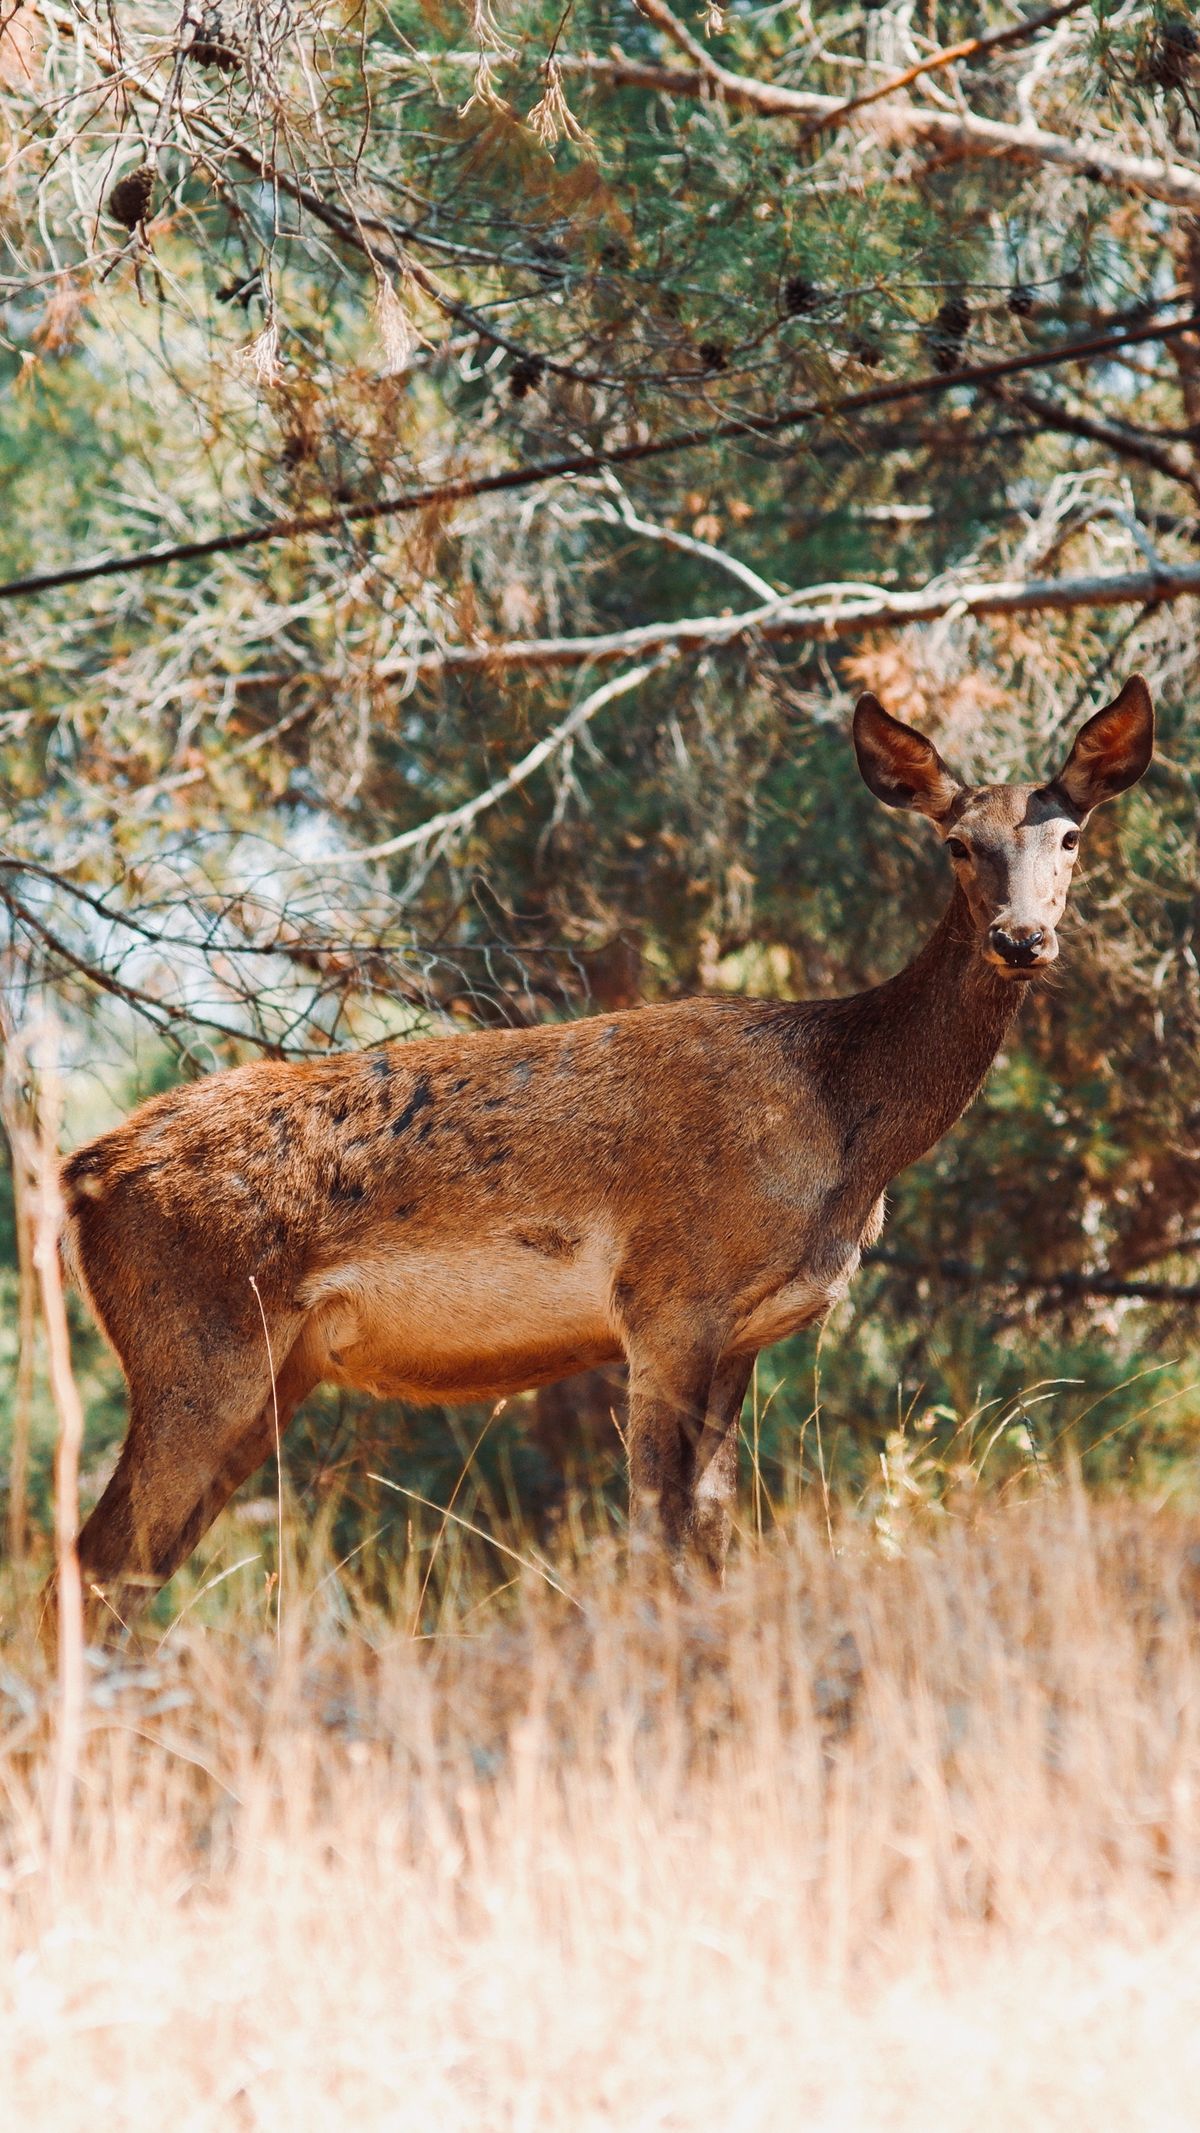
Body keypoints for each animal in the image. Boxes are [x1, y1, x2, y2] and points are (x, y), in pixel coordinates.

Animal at [57, 675, 1153, 1627]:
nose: (1021, 938)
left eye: (1071, 834)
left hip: (269, 1375)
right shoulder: (667, 1299)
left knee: (126, 1572)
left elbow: (710, 1538)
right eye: (958, 843)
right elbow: (654, 1538)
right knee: (93, 1563)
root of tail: (81, 1175)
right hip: (198, 1348)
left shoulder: (742, 1335)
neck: (843, 1126)